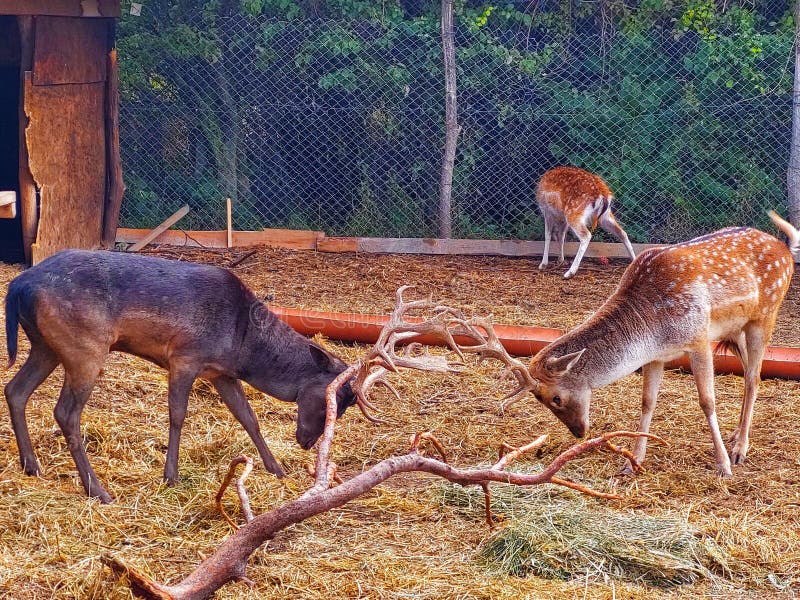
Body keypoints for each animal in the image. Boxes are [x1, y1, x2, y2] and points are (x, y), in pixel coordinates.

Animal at [3, 249, 368, 503]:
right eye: (330, 399)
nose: (307, 442)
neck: (243, 344)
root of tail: (18, 286)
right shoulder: (185, 357)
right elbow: (178, 415)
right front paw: (171, 476)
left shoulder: (221, 373)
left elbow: (248, 417)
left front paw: (276, 469)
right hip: (85, 348)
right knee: (65, 412)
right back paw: (99, 491)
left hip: (46, 346)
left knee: (15, 390)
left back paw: (31, 465)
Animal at [503, 211, 799, 477]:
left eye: (556, 398)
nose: (579, 432)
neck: (652, 329)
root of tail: (784, 248)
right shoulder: (657, 355)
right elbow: (647, 401)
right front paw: (632, 463)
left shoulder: (699, 339)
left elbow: (707, 401)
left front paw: (723, 466)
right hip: (734, 330)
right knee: (751, 372)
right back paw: (737, 434)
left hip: (765, 316)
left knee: (753, 377)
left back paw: (739, 449)